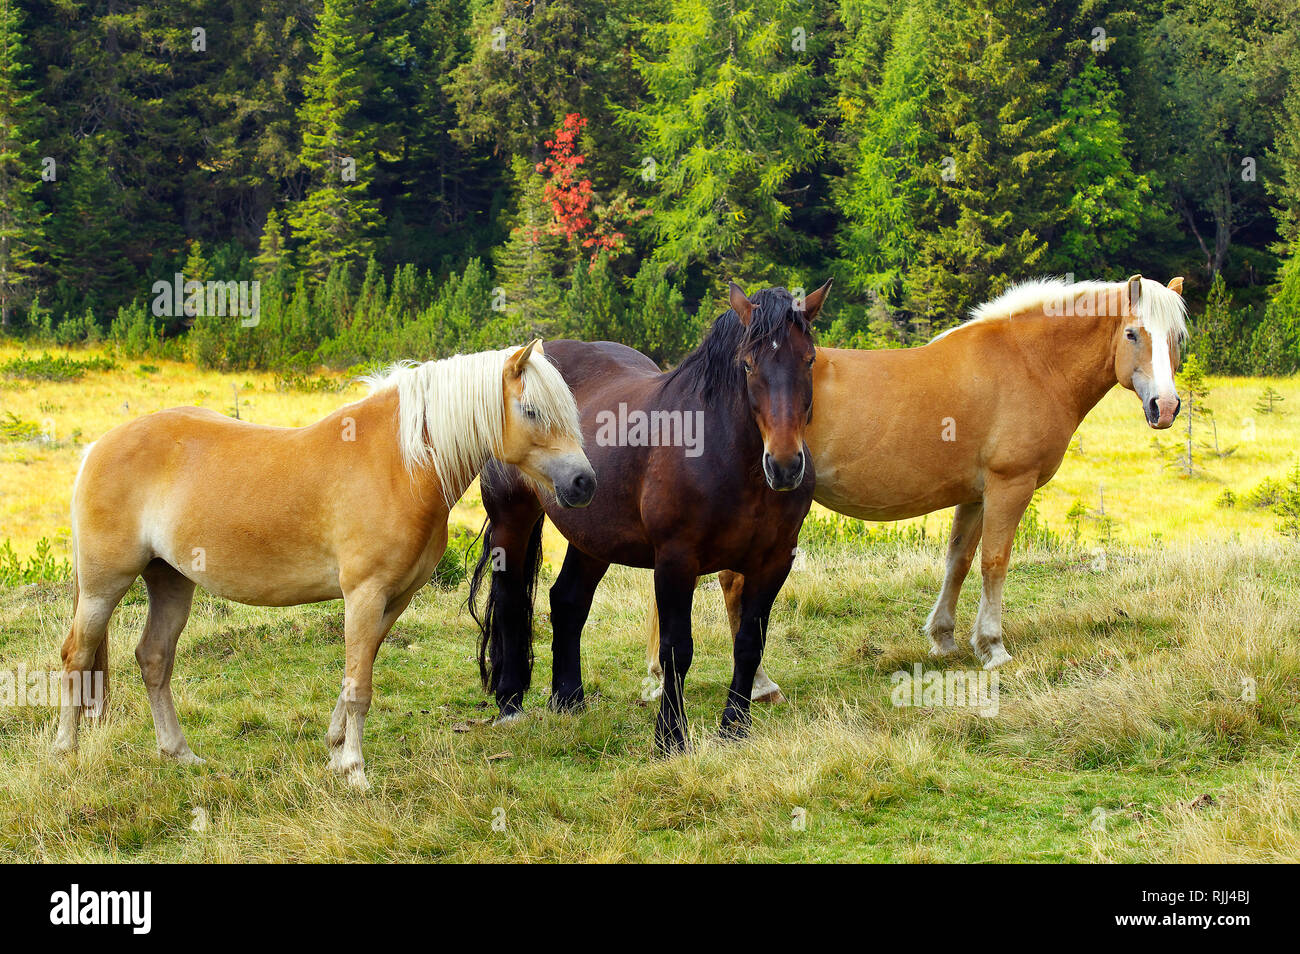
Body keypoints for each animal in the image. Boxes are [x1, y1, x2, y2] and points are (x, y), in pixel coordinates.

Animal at [52, 341, 593, 789]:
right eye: (532, 410)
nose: (584, 482)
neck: (398, 464)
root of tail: (96, 448)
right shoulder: (365, 593)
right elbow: (360, 686)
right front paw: (354, 770)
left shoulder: (393, 599)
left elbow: (359, 670)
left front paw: (335, 748)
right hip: (104, 585)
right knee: (76, 656)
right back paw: (65, 752)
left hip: (170, 581)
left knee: (154, 658)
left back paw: (179, 753)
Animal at [469, 280, 832, 752]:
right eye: (748, 364)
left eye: (809, 360)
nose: (785, 466)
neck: (727, 454)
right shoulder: (676, 559)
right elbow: (677, 648)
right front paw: (671, 737)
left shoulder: (772, 562)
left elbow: (749, 644)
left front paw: (734, 729)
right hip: (511, 518)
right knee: (512, 599)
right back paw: (511, 702)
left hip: (593, 536)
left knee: (567, 600)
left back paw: (568, 700)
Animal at [647, 274, 1188, 697]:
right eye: (1133, 333)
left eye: (1177, 338)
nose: (1165, 407)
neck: (1029, 362)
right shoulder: (1009, 486)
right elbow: (995, 563)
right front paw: (993, 646)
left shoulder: (975, 495)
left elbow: (959, 561)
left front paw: (945, 637)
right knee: (733, 584)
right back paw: (758, 683)